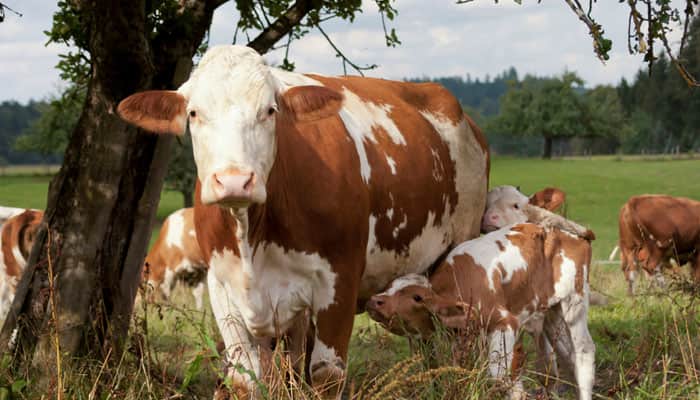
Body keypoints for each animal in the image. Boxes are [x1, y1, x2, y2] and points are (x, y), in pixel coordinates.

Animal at [117, 45, 489, 398]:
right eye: (194, 113)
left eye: (270, 111)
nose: (235, 181)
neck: (253, 234)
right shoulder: (222, 286)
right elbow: (245, 379)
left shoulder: (339, 280)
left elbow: (326, 374)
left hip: (455, 256)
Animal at [366, 223, 596, 400]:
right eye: (391, 286)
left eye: (417, 297)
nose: (375, 301)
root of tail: (571, 235)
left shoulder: (505, 322)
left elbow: (500, 374)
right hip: (551, 313)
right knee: (561, 361)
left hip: (574, 303)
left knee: (583, 352)